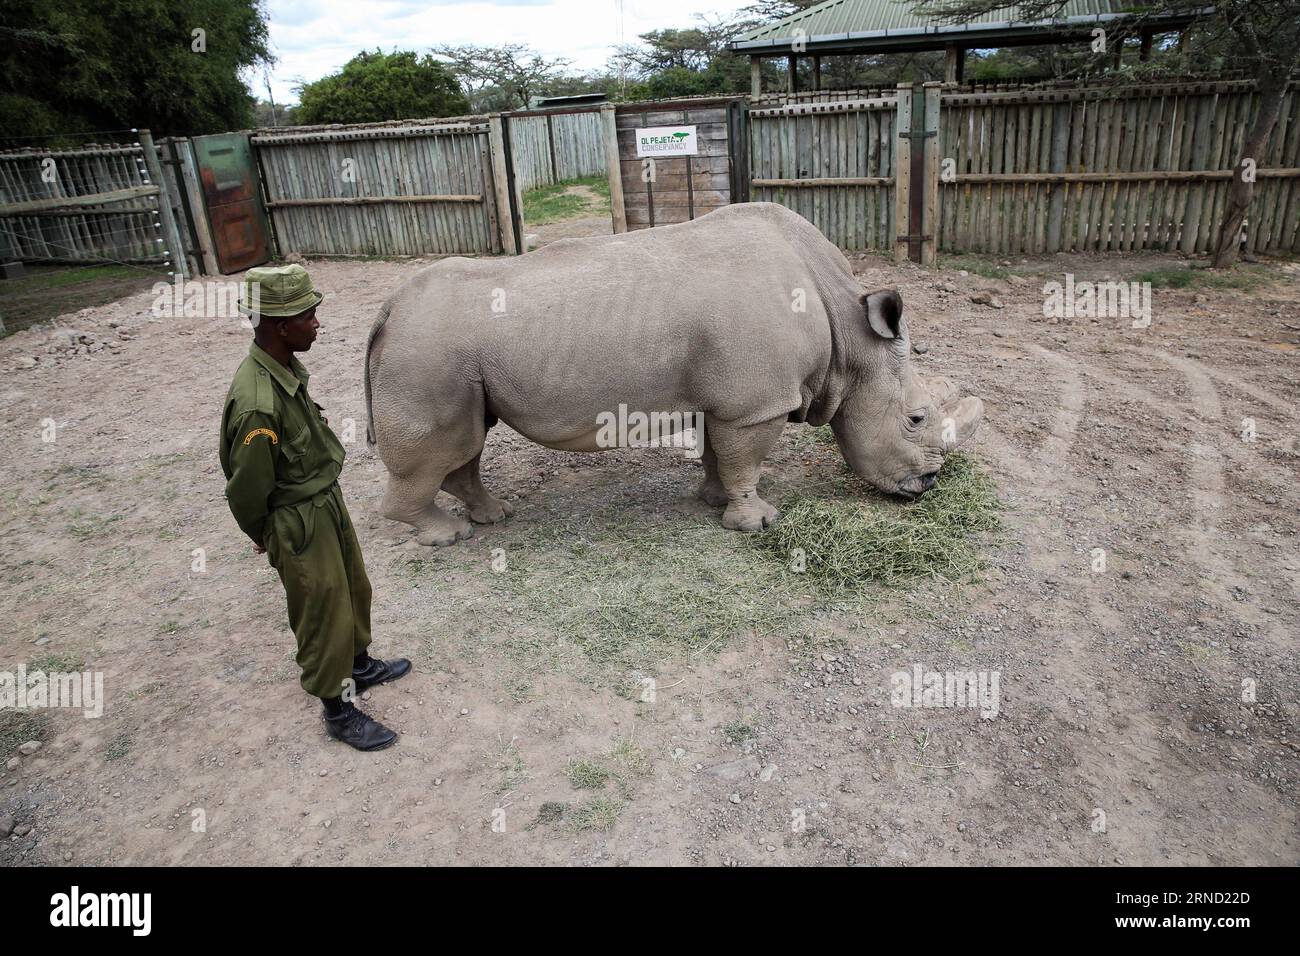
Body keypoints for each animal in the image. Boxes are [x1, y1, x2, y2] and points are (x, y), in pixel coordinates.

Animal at [364, 202, 983, 546]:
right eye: (915, 418)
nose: (928, 485)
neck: (849, 333)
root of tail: (388, 308)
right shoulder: (755, 402)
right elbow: (745, 459)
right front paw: (757, 523)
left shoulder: (728, 400)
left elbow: (718, 453)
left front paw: (713, 500)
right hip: (427, 352)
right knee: (445, 447)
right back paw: (449, 537)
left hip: (446, 357)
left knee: (467, 442)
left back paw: (493, 517)